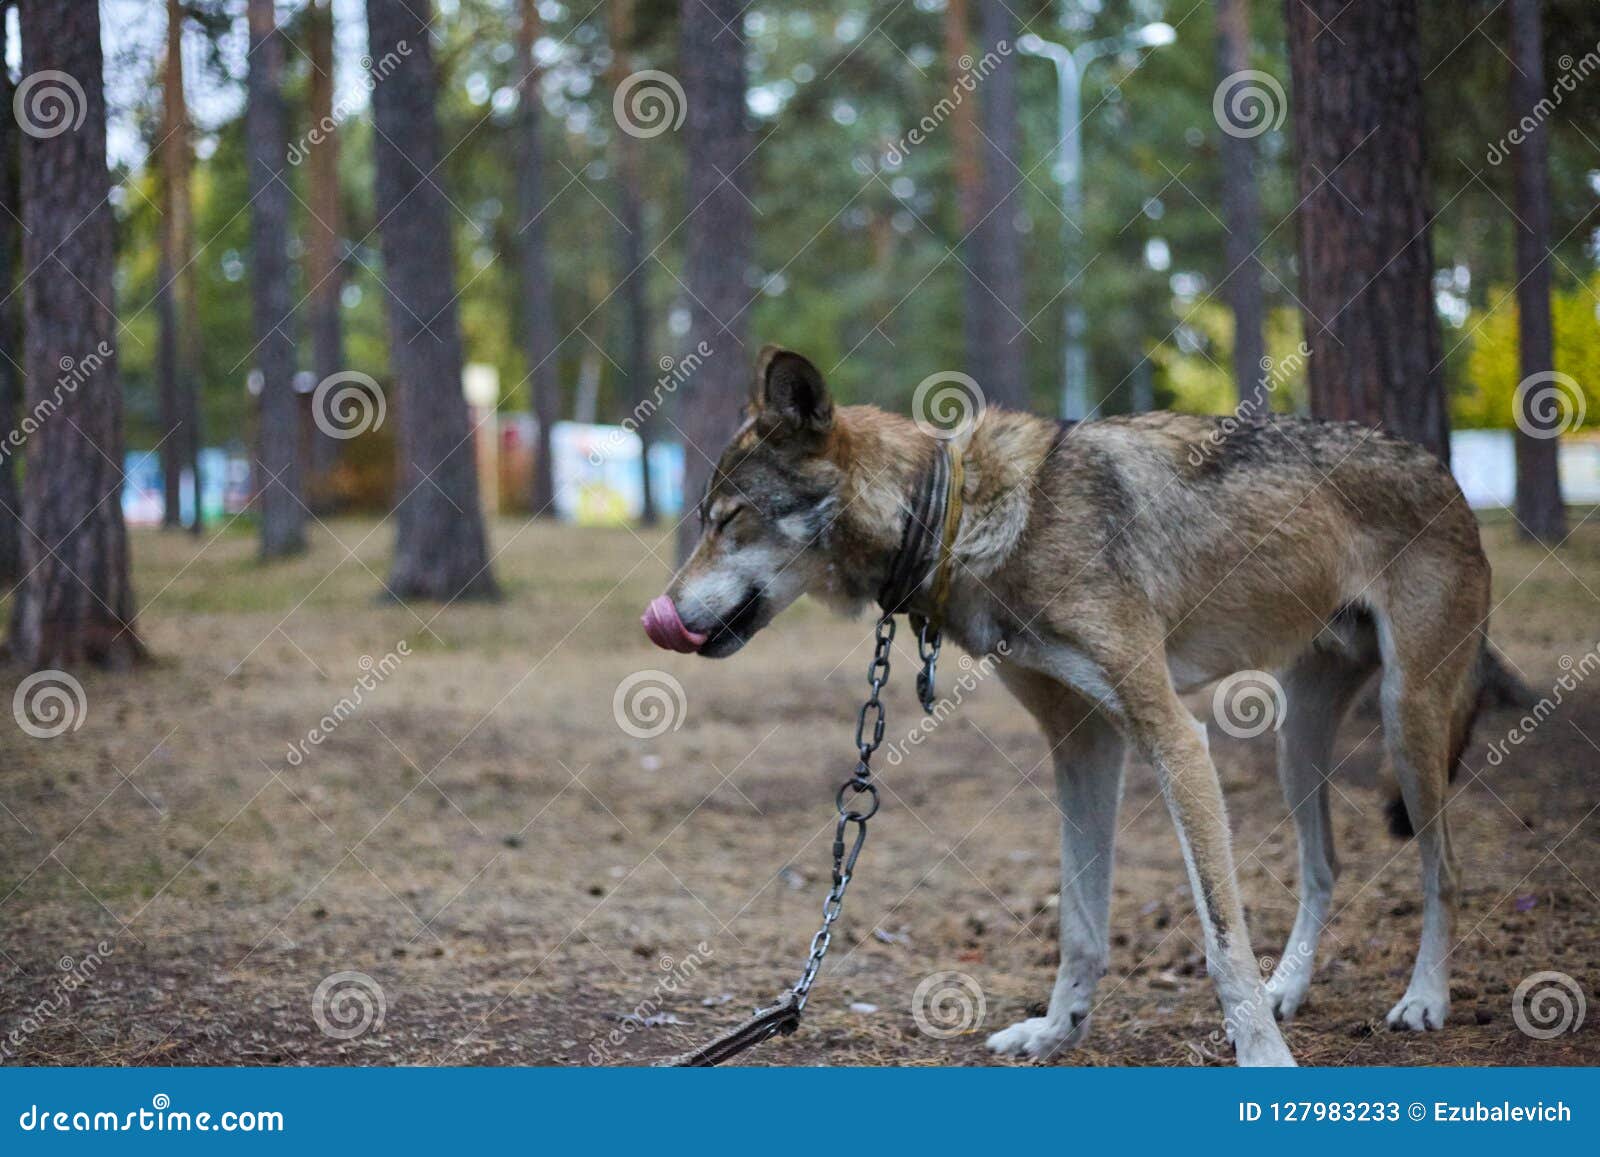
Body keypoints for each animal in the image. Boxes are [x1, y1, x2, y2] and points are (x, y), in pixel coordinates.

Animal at [644, 347, 1512, 1066]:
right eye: (706, 523)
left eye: (729, 519)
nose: (662, 614)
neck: (962, 517)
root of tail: (1447, 474)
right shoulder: (1084, 739)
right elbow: (1080, 925)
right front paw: (1056, 1031)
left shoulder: (1172, 735)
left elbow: (1221, 938)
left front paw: (1263, 1059)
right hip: (1296, 742)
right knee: (1326, 866)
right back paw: (1289, 989)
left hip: (1407, 722)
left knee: (1445, 869)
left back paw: (1423, 1000)